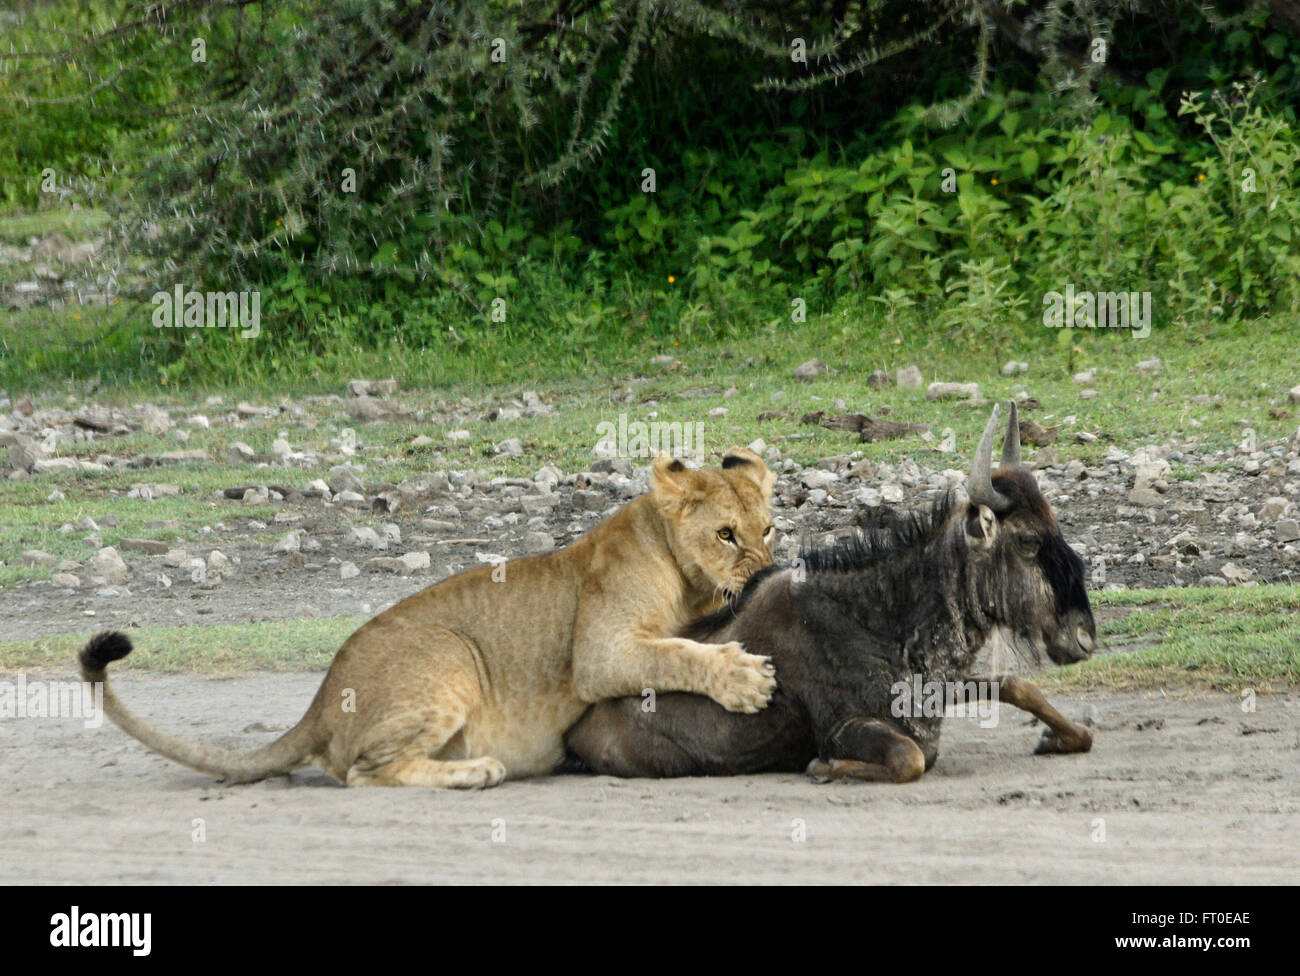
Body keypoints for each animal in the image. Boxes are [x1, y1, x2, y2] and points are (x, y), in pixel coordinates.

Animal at [79, 449, 778, 789]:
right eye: (725, 534)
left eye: (768, 529)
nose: (766, 572)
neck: (686, 576)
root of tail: (321, 701)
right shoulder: (601, 653)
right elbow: (674, 653)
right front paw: (745, 680)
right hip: (449, 656)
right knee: (363, 774)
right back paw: (477, 772)